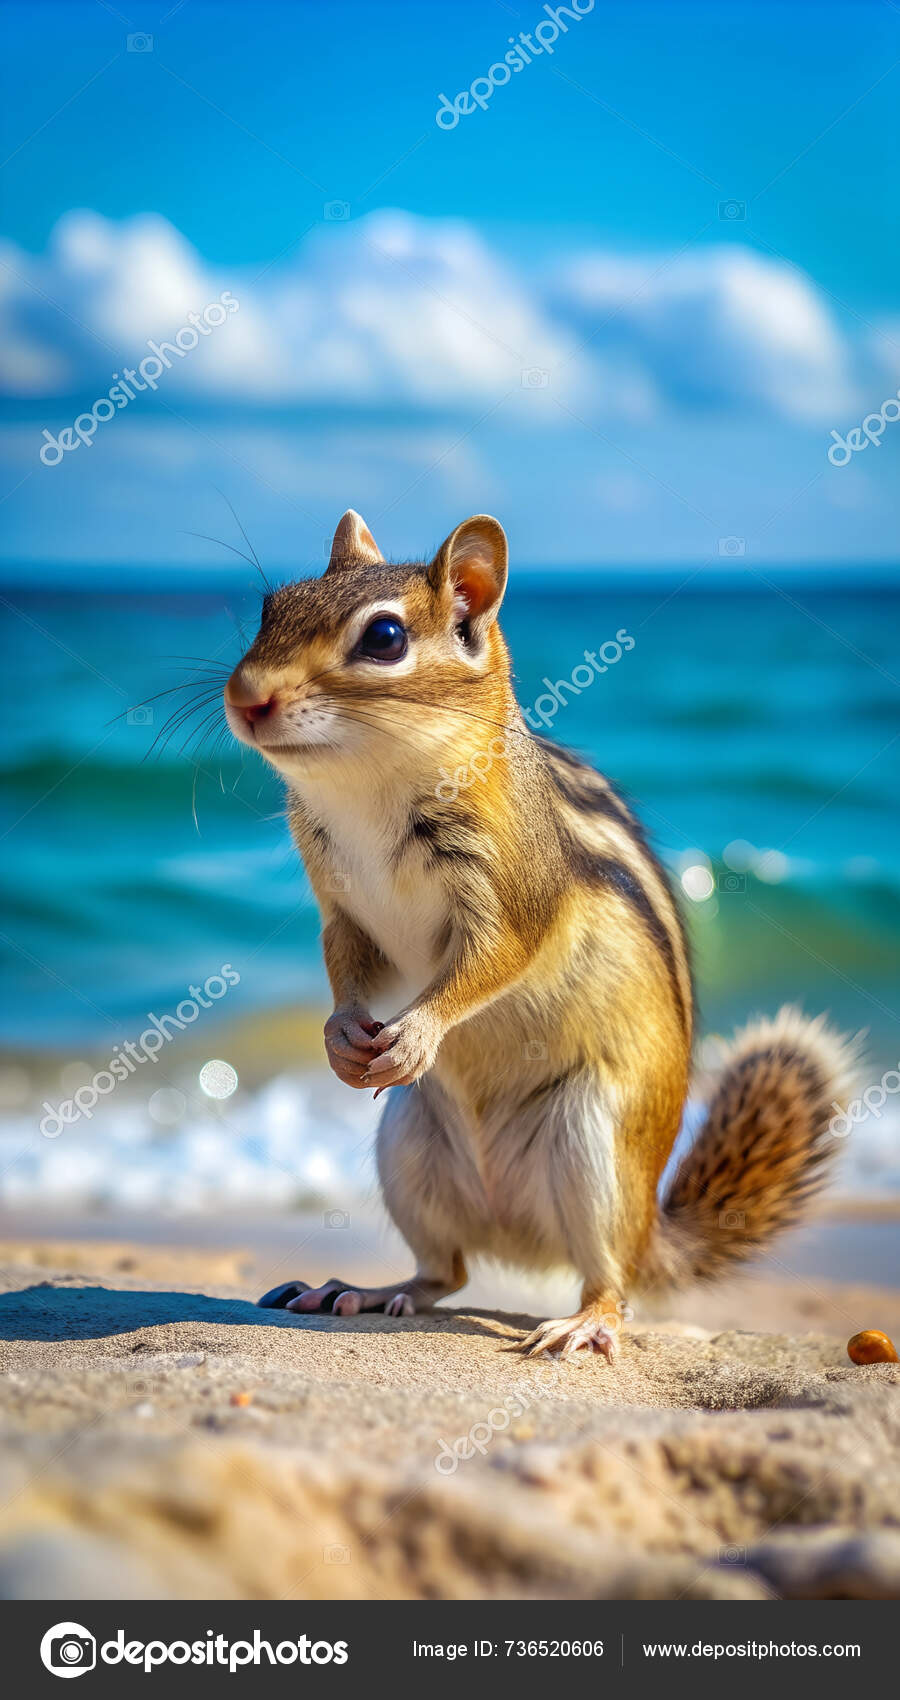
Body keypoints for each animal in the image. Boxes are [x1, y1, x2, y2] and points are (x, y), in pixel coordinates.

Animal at [224, 509, 857, 1359]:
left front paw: (417, 1032)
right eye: (270, 607)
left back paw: (584, 1322)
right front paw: (340, 1034)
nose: (246, 698)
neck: (369, 790)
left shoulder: (517, 898)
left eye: (385, 636)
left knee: (612, 1282)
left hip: (593, 1146)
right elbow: (347, 961)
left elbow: (497, 960)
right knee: (444, 1272)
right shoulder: (344, 910)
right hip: (408, 1147)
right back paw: (362, 1290)